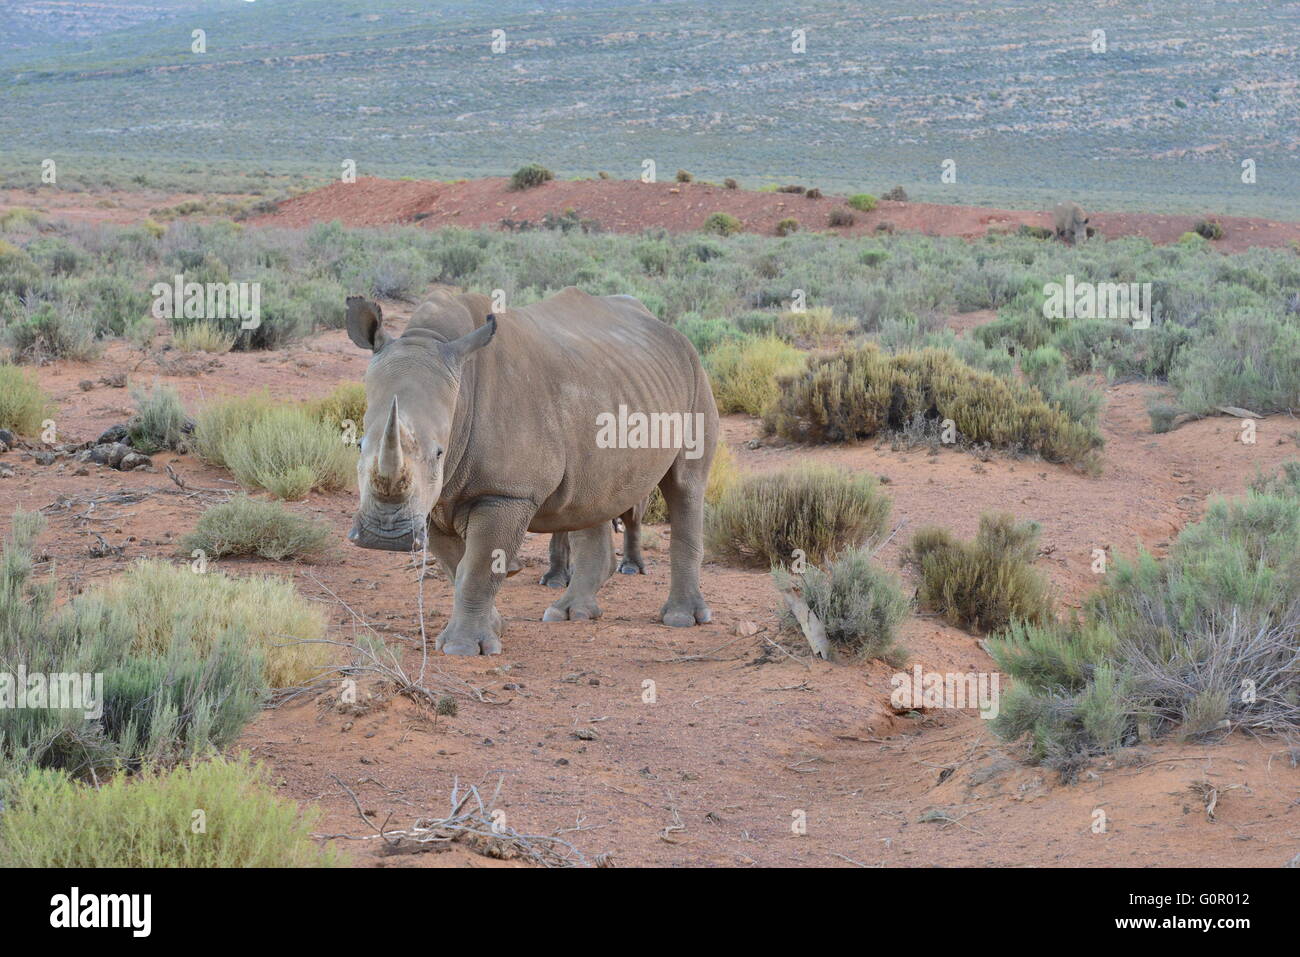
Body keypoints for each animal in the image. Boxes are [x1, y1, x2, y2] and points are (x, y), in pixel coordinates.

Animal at [344, 287, 717, 655]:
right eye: (359, 445)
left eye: (438, 452)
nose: (384, 536)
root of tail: (668, 329)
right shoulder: (433, 498)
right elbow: (455, 566)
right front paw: (493, 627)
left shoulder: (507, 492)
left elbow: (479, 567)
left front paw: (463, 648)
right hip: (606, 386)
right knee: (593, 497)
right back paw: (570, 613)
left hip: (696, 375)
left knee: (685, 485)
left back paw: (681, 619)